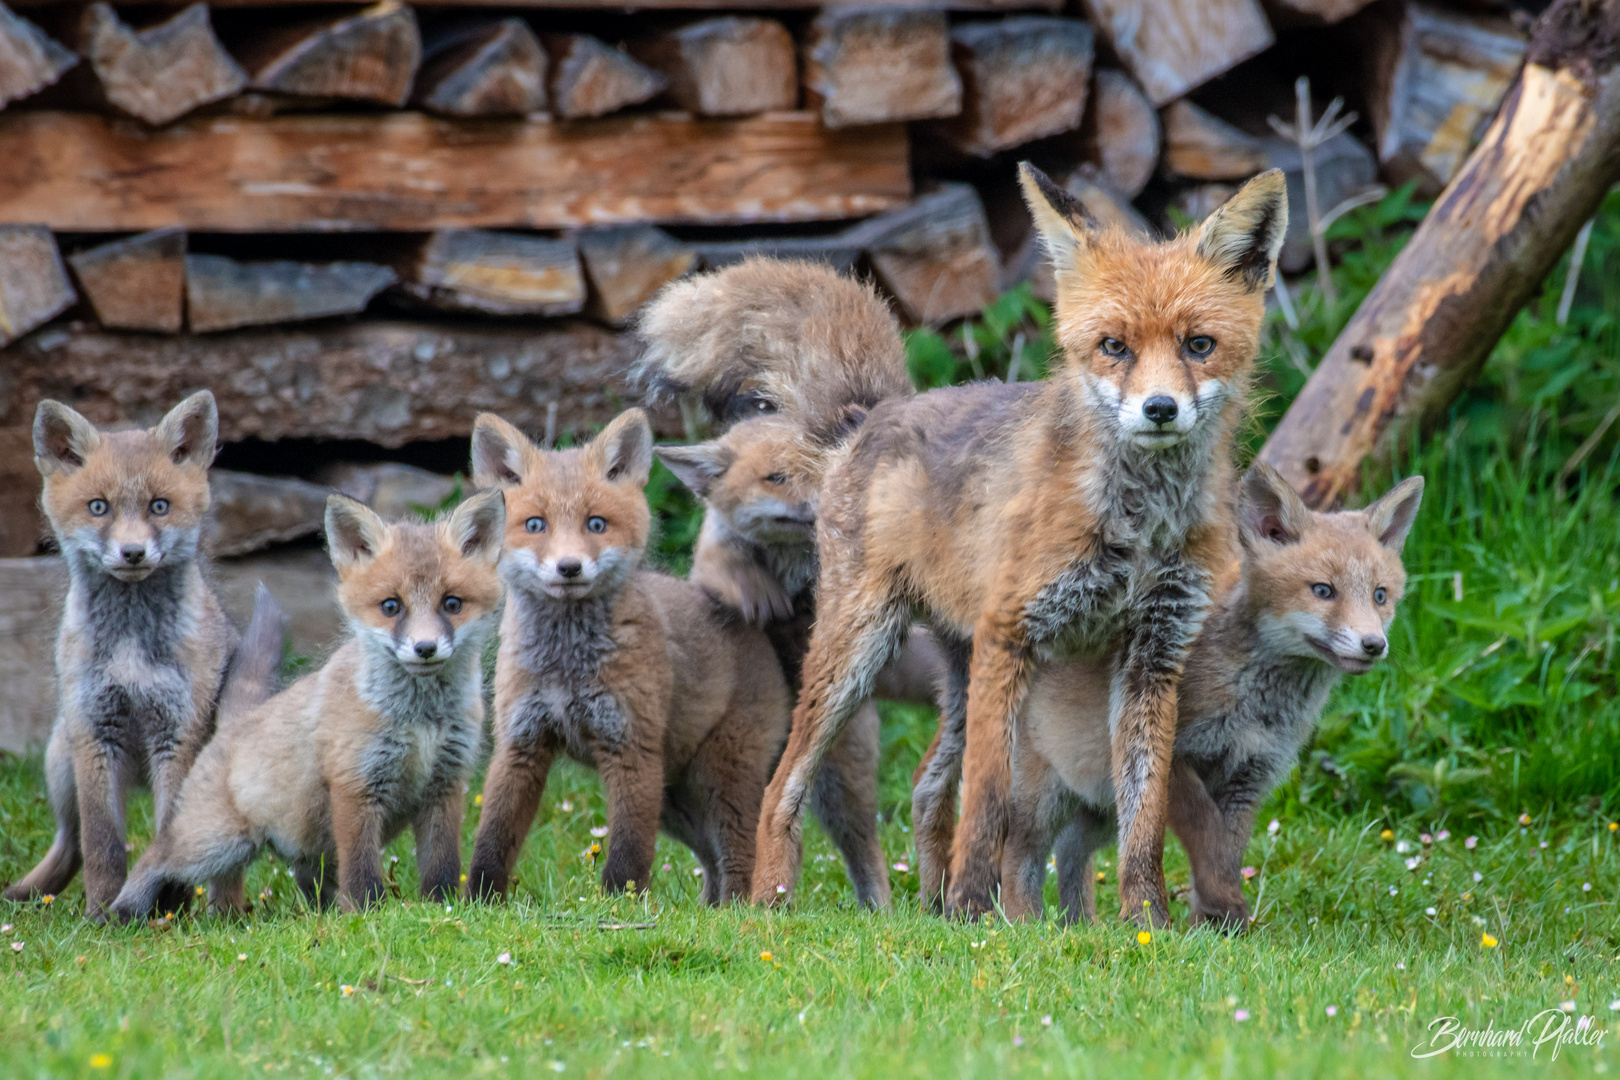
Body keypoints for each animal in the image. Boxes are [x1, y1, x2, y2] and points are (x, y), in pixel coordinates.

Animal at [3, 392, 235, 920]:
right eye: (98, 507)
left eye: (159, 506)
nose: (132, 553)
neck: (130, 646)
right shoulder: (94, 730)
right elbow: (103, 842)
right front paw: (101, 912)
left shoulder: (177, 733)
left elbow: (169, 834)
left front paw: (167, 908)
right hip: (60, 758)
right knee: (70, 845)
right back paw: (30, 896)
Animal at [108, 490, 505, 919]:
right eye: (391, 606)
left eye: (452, 604)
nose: (425, 648)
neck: (420, 721)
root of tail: (237, 721)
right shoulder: (355, 783)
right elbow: (361, 869)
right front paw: (367, 914)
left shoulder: (445, 783)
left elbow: (442, 864)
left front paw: (443, 908)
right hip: (216, 842)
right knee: (155, 857)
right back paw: (119, 914)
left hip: (298, 846)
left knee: (304, 879)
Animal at [463, 409, 791, 905]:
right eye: (535, 525)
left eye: (596, 524)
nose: (569, 568)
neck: (568, 666)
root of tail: (753, 626)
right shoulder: (521, 741)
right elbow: (493, 837)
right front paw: (476, 902)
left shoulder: (631, 745)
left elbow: (628, 852)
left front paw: (619, 904)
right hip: (675, 801)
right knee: (711, 860)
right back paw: (711, 913)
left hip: (719, 778)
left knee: (740, 853)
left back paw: (739, 911)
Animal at [746, 163, 1288, 923]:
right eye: (1113, 347)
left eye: (1198, 344)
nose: (1159, 410)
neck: (1138, 526)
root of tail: (867, 418)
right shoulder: (1011, 635)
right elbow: (990, 803)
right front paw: (979, 912)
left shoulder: (1154, 653)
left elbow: (1144, 813)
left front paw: (1146, 921)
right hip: (861, 652)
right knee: (783, 784)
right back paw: (774, 900)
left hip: (957, 668)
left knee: (924, 784)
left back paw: (931, 903)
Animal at [992, 464, 1425, 927]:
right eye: (1323, 590)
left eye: (1380, 596)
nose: (1374, 644)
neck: (1258, 706)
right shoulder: (1177, 759)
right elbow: (1208, 838)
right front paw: (1223, 911)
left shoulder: (1250, 774)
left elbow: (1226, 851)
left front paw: (1214, 928)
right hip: (1046, 799)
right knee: (1018, 855)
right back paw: (1024, 923)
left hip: (1108, 806)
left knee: (1073, 850)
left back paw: (1081, 925)